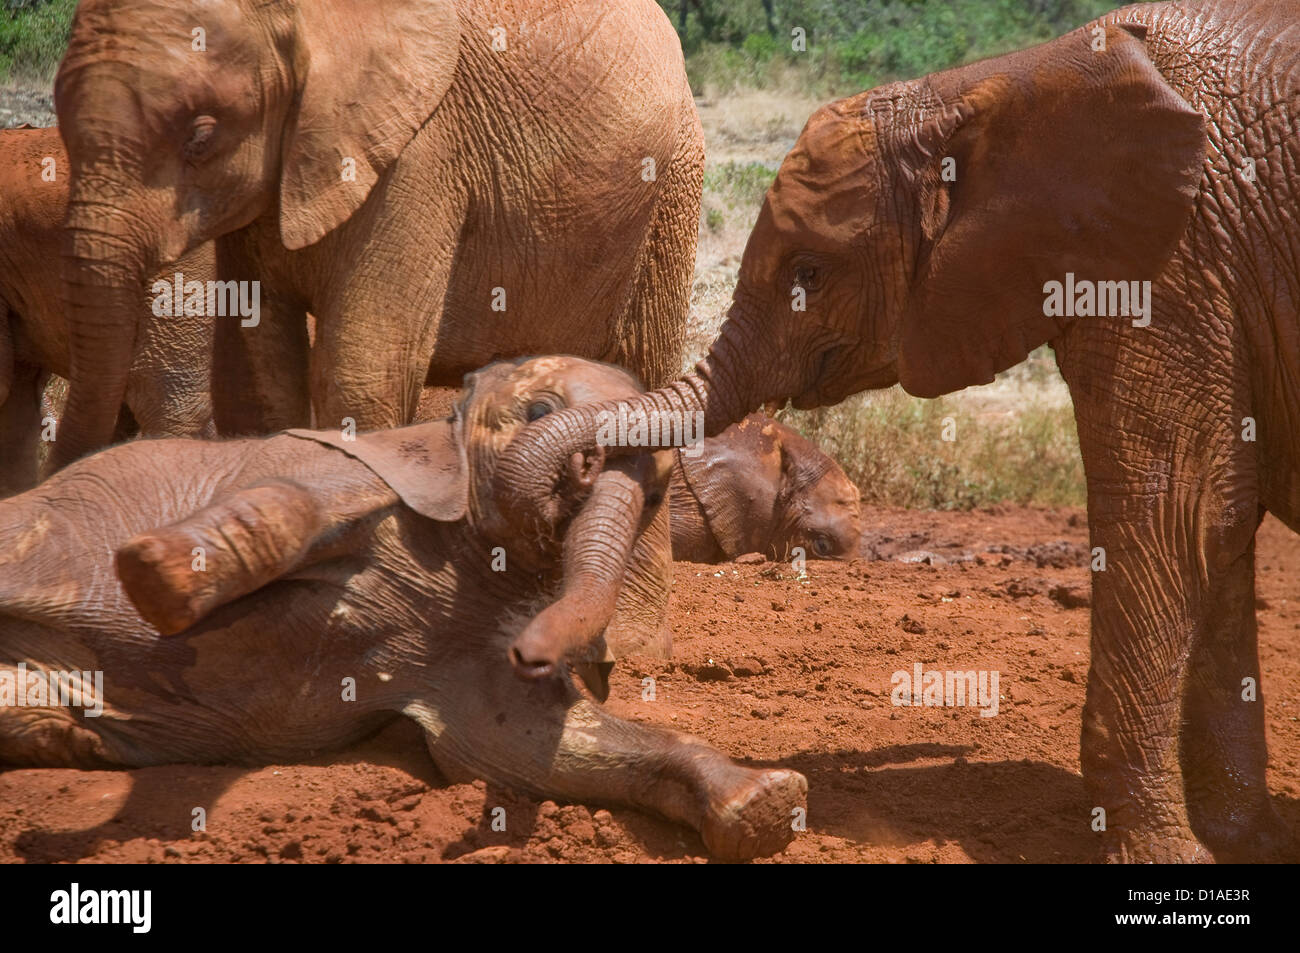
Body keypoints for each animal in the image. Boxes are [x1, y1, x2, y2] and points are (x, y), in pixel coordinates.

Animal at [0, 355, 806, 861]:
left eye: (660, 487)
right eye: (540, 411)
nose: (538, 652)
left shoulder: (465, 641)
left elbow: (533, 746)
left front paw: (768, 805)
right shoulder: (354, 468)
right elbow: (294, 499)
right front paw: (156, 575)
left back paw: (63, 737)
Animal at [50, 0, 703, 471]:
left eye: (200, 137)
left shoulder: (421, 151)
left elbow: (360, 375)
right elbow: (258, 378)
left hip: (671, 187)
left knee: (638, 368)